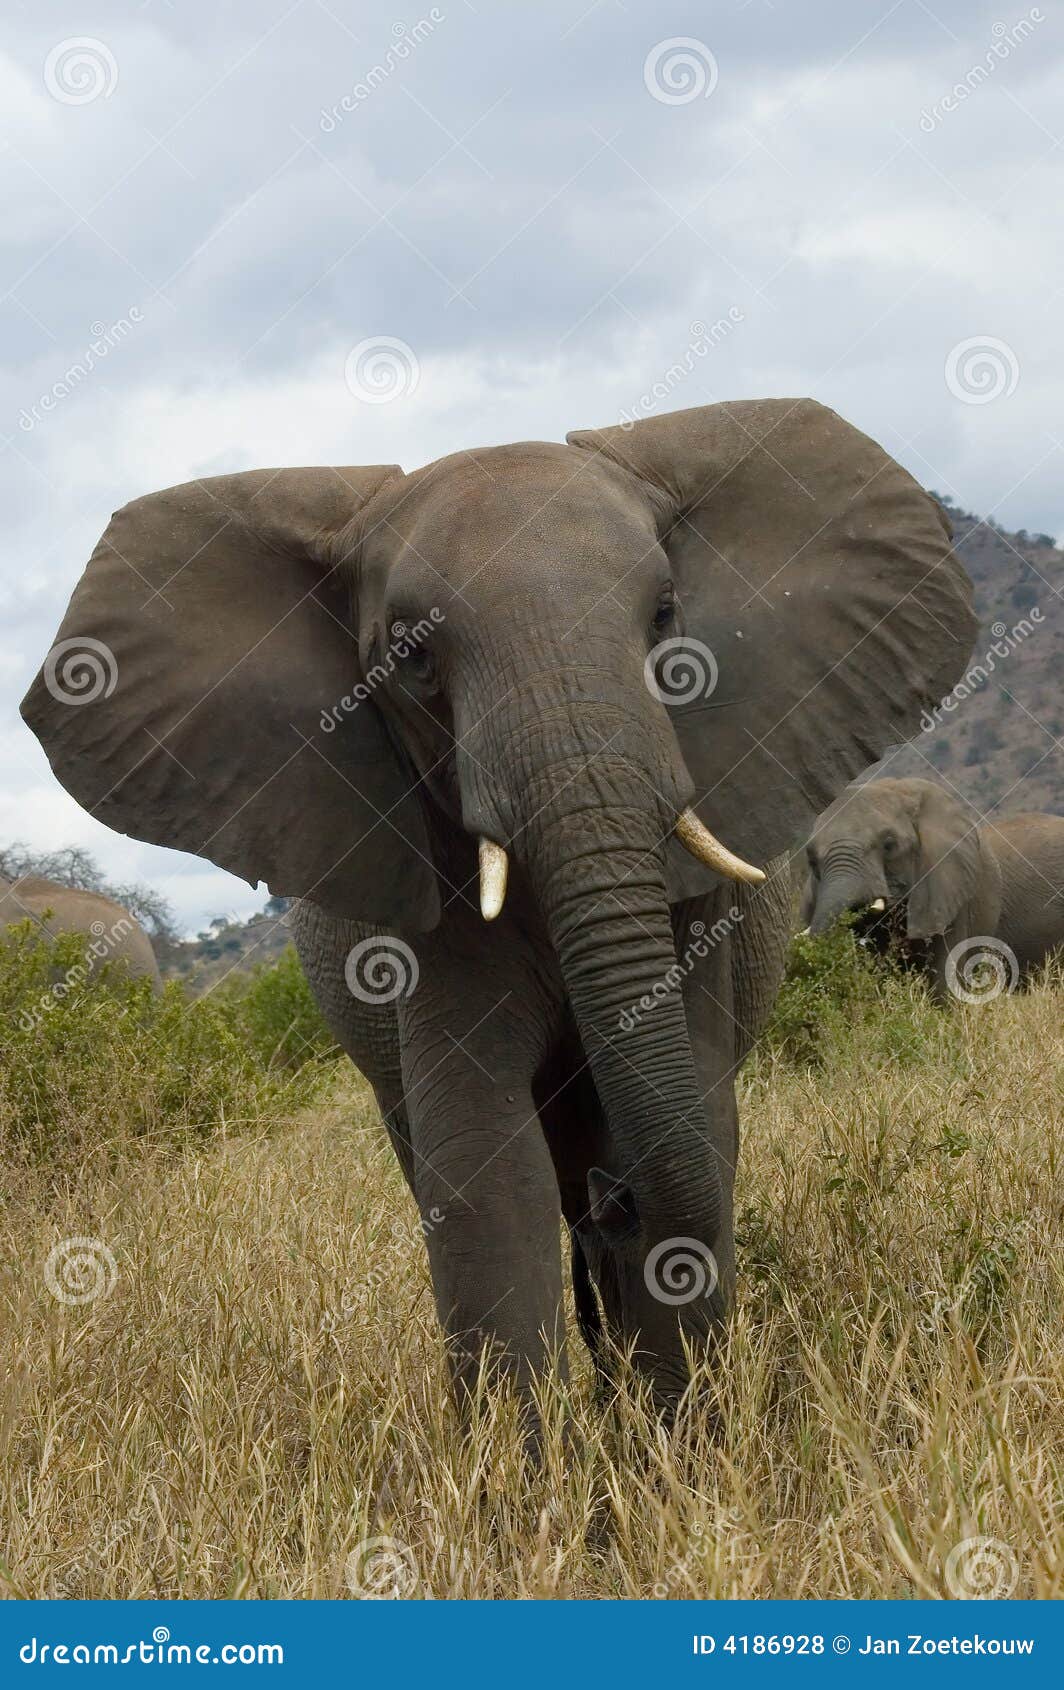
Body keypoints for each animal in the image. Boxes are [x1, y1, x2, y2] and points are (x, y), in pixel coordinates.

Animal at [21, 399, 975, 1423]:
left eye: (665, 616)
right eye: (413, 658)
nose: (613, 1201)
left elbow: (700, 1122)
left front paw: (676, 1447)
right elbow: (484, 1161)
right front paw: (530, 1465)